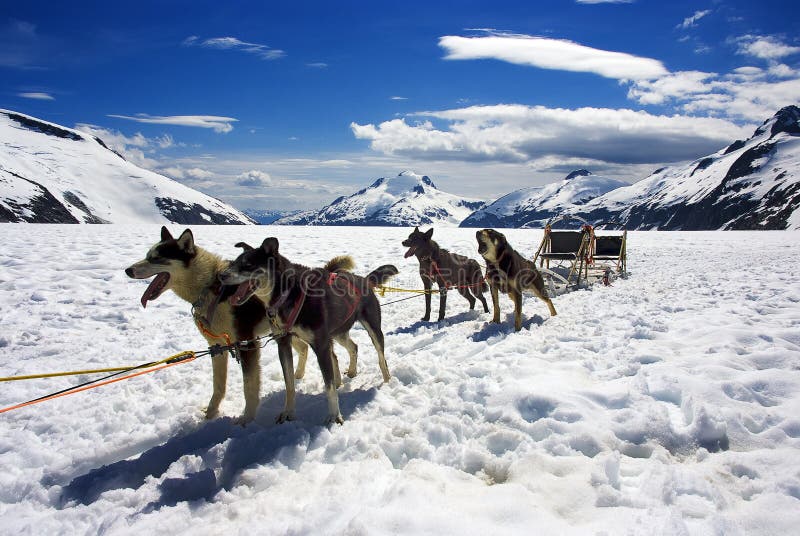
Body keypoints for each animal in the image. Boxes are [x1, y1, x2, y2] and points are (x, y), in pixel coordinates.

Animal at [219, 237, 396, 426]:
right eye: (234, 262)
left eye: (248, 264)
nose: (221, 275)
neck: (288, 294)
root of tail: (364, 280)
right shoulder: (284, 343)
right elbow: (289, 384)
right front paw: (288, 412)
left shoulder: (320, 345)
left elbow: (329, 387)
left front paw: (334, 416)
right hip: (337, 333)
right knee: (352, 347)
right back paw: (350, 373)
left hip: (372, 330)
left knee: (381, 358)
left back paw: (387, 381)